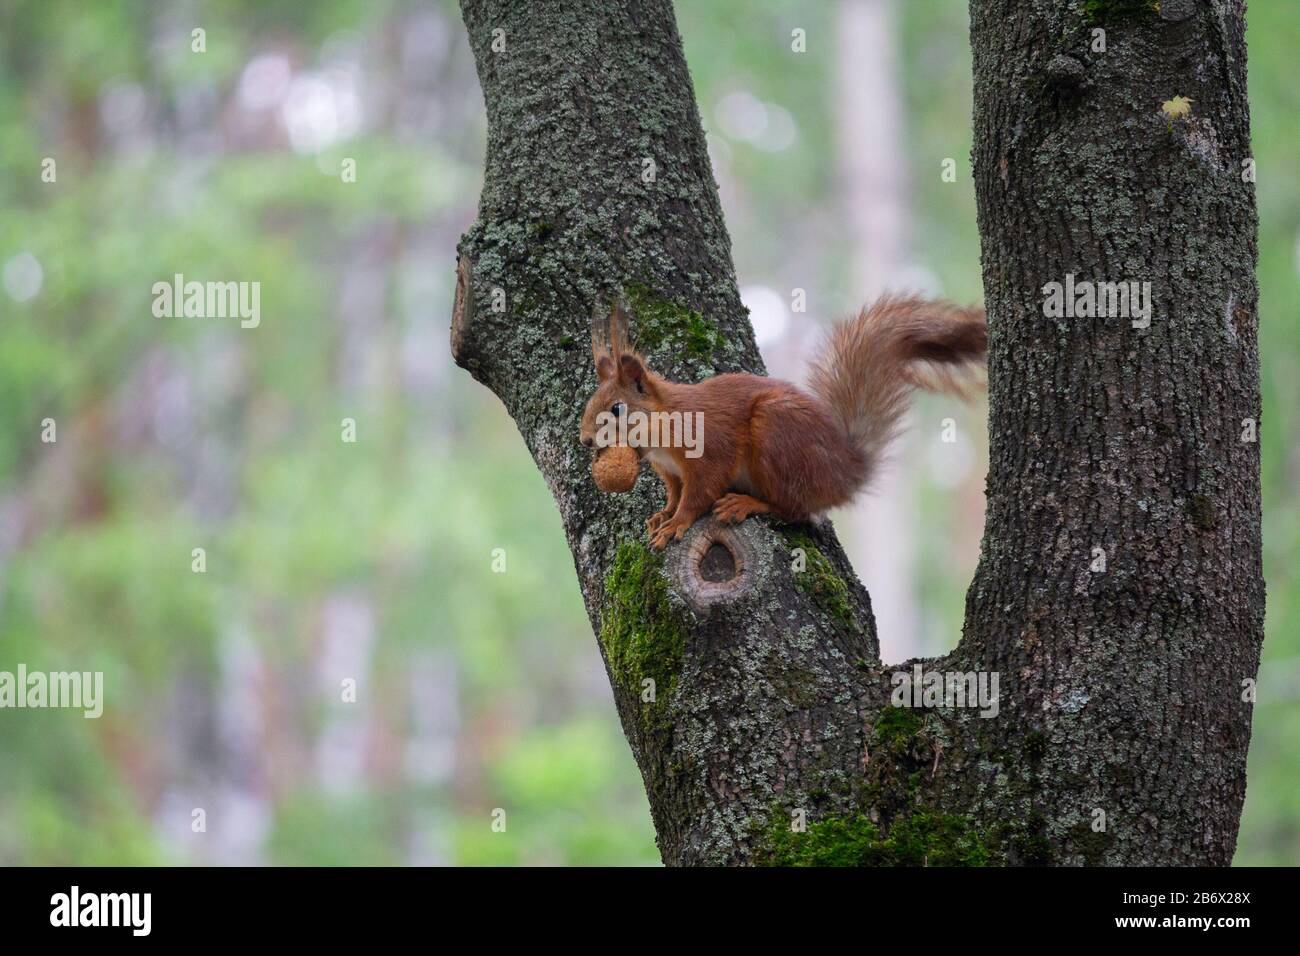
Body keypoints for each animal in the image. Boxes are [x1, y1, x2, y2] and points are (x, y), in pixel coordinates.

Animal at [580, 295, 987, 550]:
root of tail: (845, 471)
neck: (662, 428)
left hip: (776, 433)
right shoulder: (671, 472)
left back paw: (747, 504)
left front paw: (677, 524)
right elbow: (676, 493)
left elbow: (700, 492)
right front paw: (663, 514)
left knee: (795, 509)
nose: (584, 440)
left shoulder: (708, 449)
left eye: (617, 409)